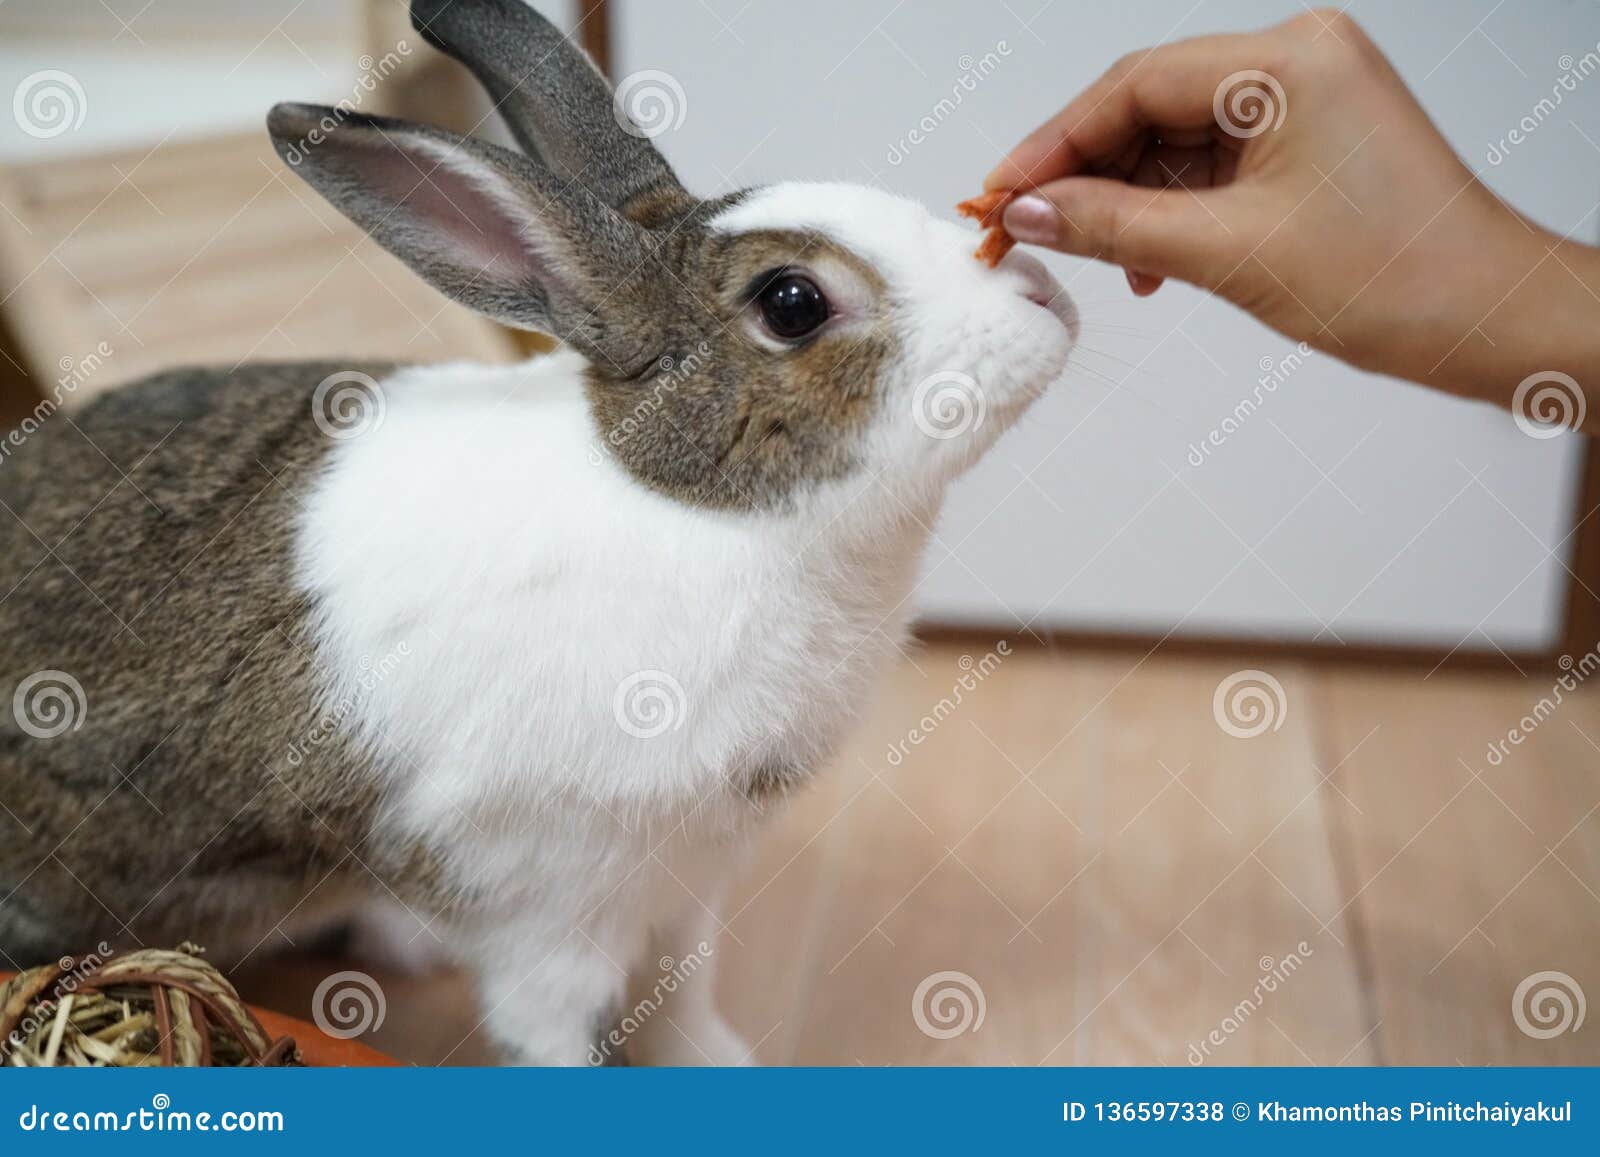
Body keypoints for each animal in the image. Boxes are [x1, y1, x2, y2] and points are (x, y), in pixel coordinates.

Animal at [0, 0, 1076, 1065]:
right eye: (792, 301)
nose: (1049, 298)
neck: (701, 510)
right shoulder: (549, 904)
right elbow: (555, 1024)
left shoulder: (685, 885)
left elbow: (683, 995)